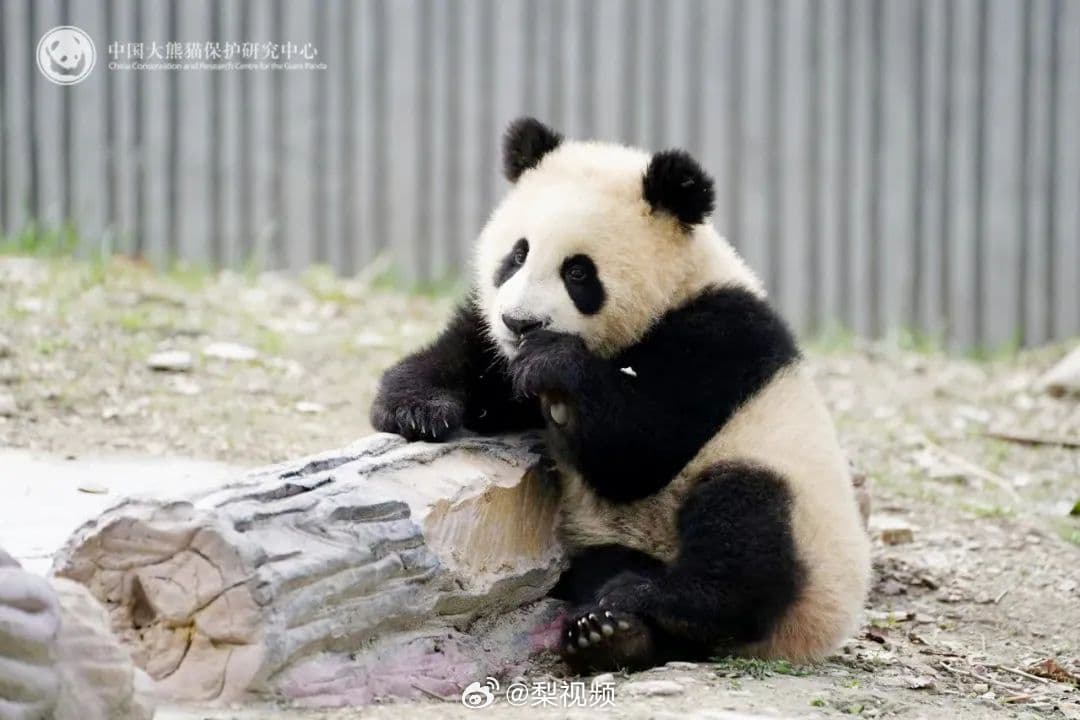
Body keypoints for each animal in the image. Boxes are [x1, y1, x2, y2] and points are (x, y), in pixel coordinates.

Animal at [371, 117, 870, 672]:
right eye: (517, 254)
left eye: (578, 272)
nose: (520, 323)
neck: (674, 290)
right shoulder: (491, 334)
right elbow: (465, 359)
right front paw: (417, 410)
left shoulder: (723, 335)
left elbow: (641, 449)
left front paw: (554, 367)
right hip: (600, 540)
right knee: (603, 573)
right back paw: (610, 632)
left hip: (801, 510)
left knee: (747, 529)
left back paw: (649, 599)